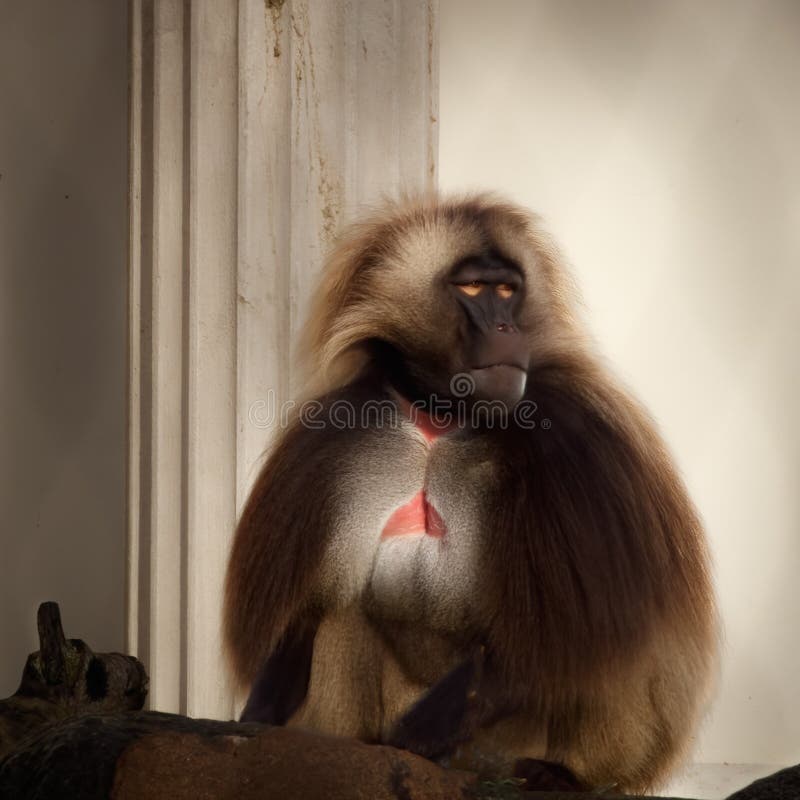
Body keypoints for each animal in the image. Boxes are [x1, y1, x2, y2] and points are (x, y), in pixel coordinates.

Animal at [223, 194, 717, 793]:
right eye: (474, 287)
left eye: (508, 290)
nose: (506, 325)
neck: (439, 418)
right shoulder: (339, 436)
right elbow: (301, 625)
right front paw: (254, 722)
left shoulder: (579, 446)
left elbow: (557, 649)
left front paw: (418, 733)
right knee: (341, 616)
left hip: (528, 747)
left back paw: (560, 775)